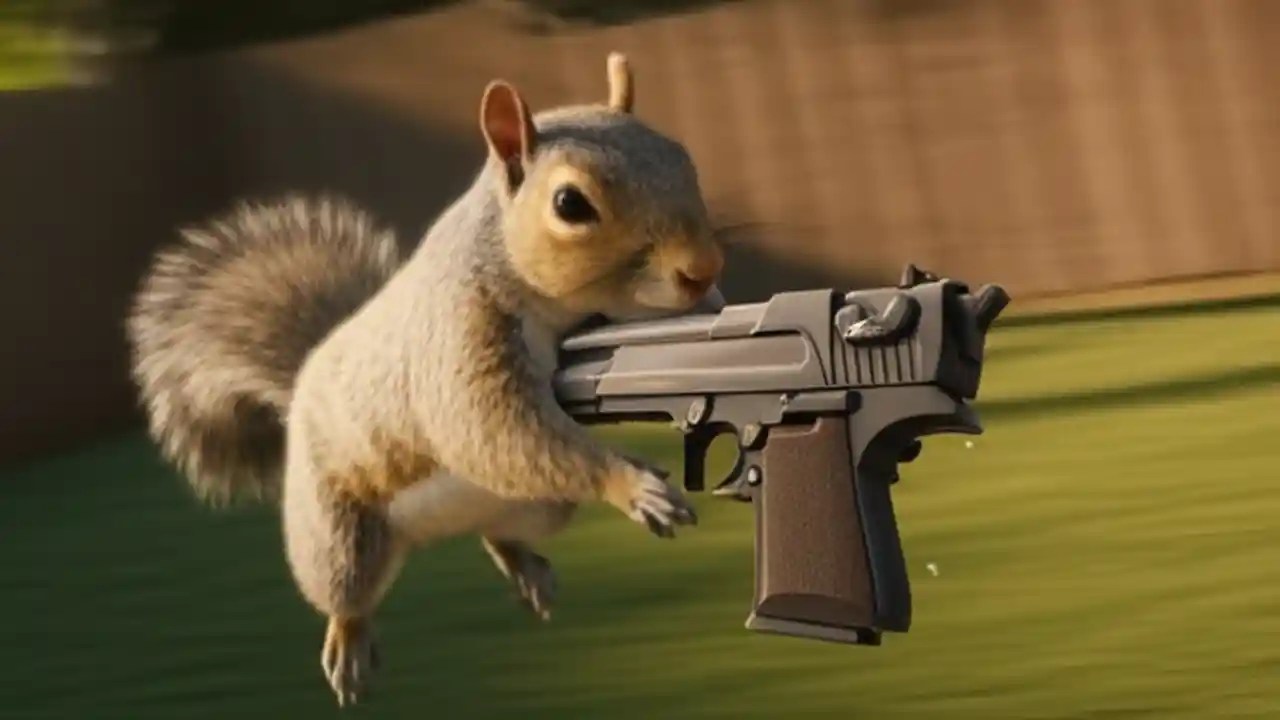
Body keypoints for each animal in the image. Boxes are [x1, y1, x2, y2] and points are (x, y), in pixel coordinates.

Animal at [126, 52, 725, 707]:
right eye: (570, 204)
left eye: (684, 158)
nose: (703, 270)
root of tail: (305, 376)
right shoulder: (459, 341)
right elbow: (494, 431)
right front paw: (634, 485)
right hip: (337, 531)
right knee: (345, 591)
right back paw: (349, 646)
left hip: (537, 506)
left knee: (497, 531)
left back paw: (523, 567)